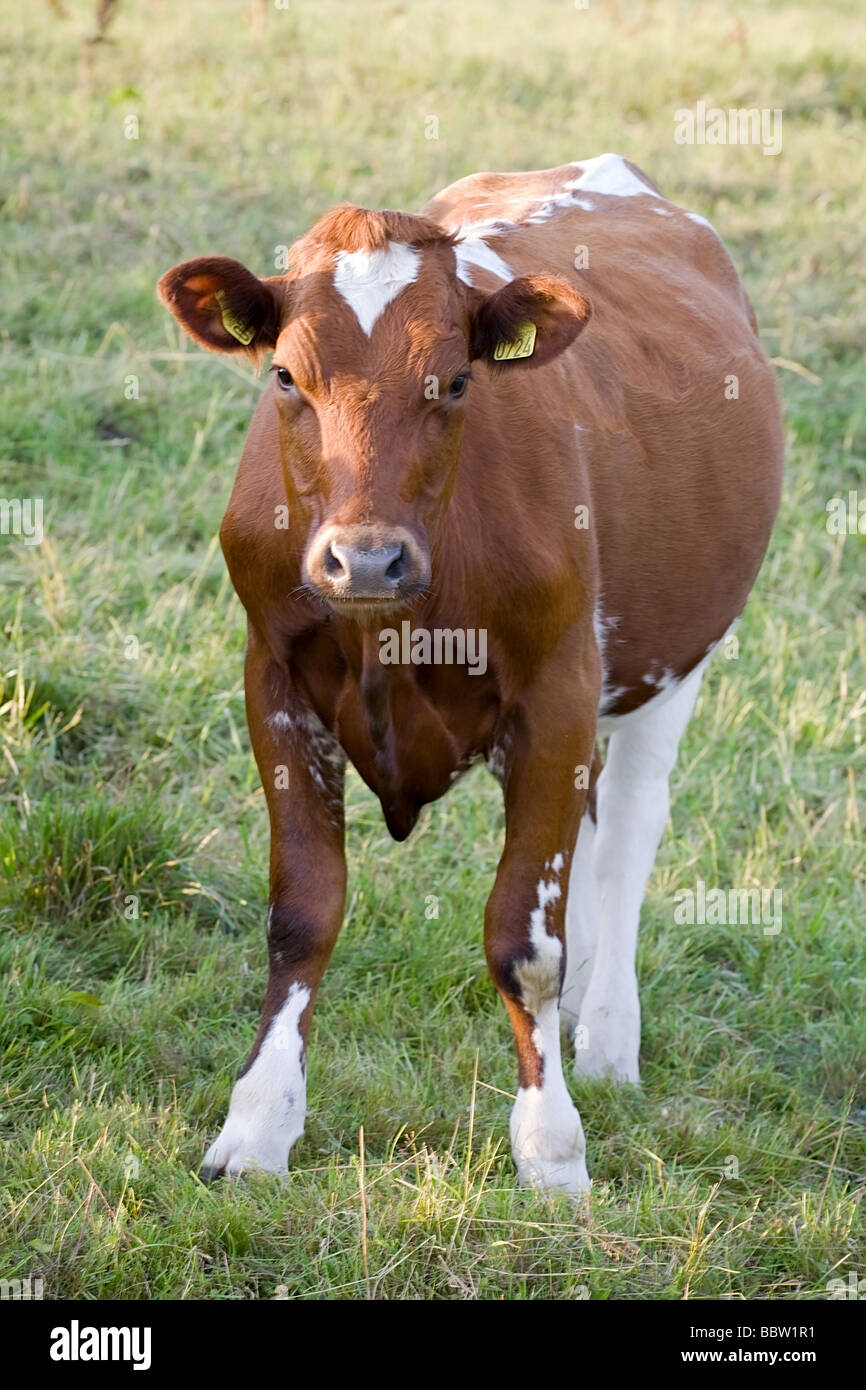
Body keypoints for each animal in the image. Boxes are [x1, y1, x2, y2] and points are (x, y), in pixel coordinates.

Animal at [158, 153, 782, 1193]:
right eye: (286, 375)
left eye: (454, 382)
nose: (366, 560)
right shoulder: (273, 686)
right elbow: (301, 914)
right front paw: (257, 1127)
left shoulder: (559, 695)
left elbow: (525, 941)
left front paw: (552, 1147)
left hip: (673, 661)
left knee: (627, 837)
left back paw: (607, 1040)